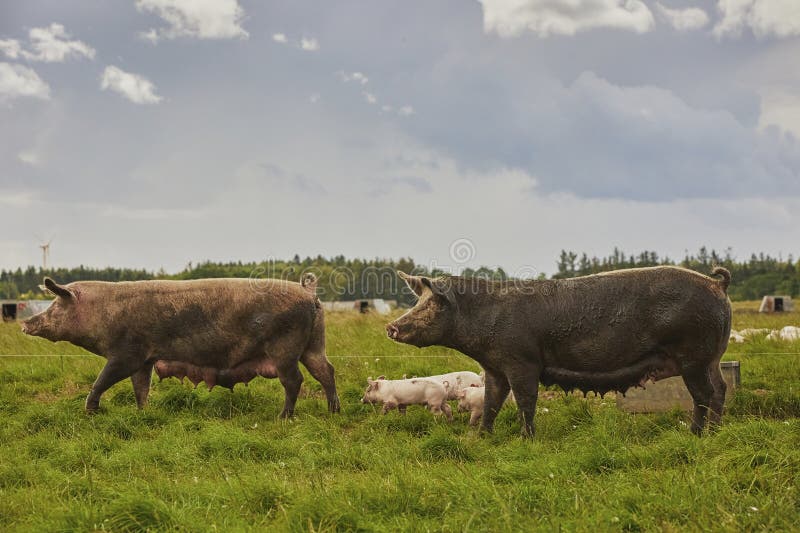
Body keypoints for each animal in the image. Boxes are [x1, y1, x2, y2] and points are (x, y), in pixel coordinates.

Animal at [21, 275, 340, 417]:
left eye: (55, 305)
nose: (25, 323)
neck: (101, 312)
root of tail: (308, 291)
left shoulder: (126, 353)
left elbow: (102, 380)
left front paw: (91, 411)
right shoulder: (145, 359)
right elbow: (141, 386)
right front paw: (143, 412)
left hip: (285, 349)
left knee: (295, 380)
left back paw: (283, 417)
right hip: (314, 345)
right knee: (326, 371)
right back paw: (333, 411)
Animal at [386, 266, 732, 437]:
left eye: (431, 304)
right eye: (418, 300)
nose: (391, 327)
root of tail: (718, 285)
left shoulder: (522, 361)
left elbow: (525, 401)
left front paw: (527, 439)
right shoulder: (495, 367)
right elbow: (491, 401)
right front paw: (481, 437)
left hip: (693, 355)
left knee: (704, 394)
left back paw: (697, 434)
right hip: (712, 358)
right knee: (721, 389)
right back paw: (713, 431)